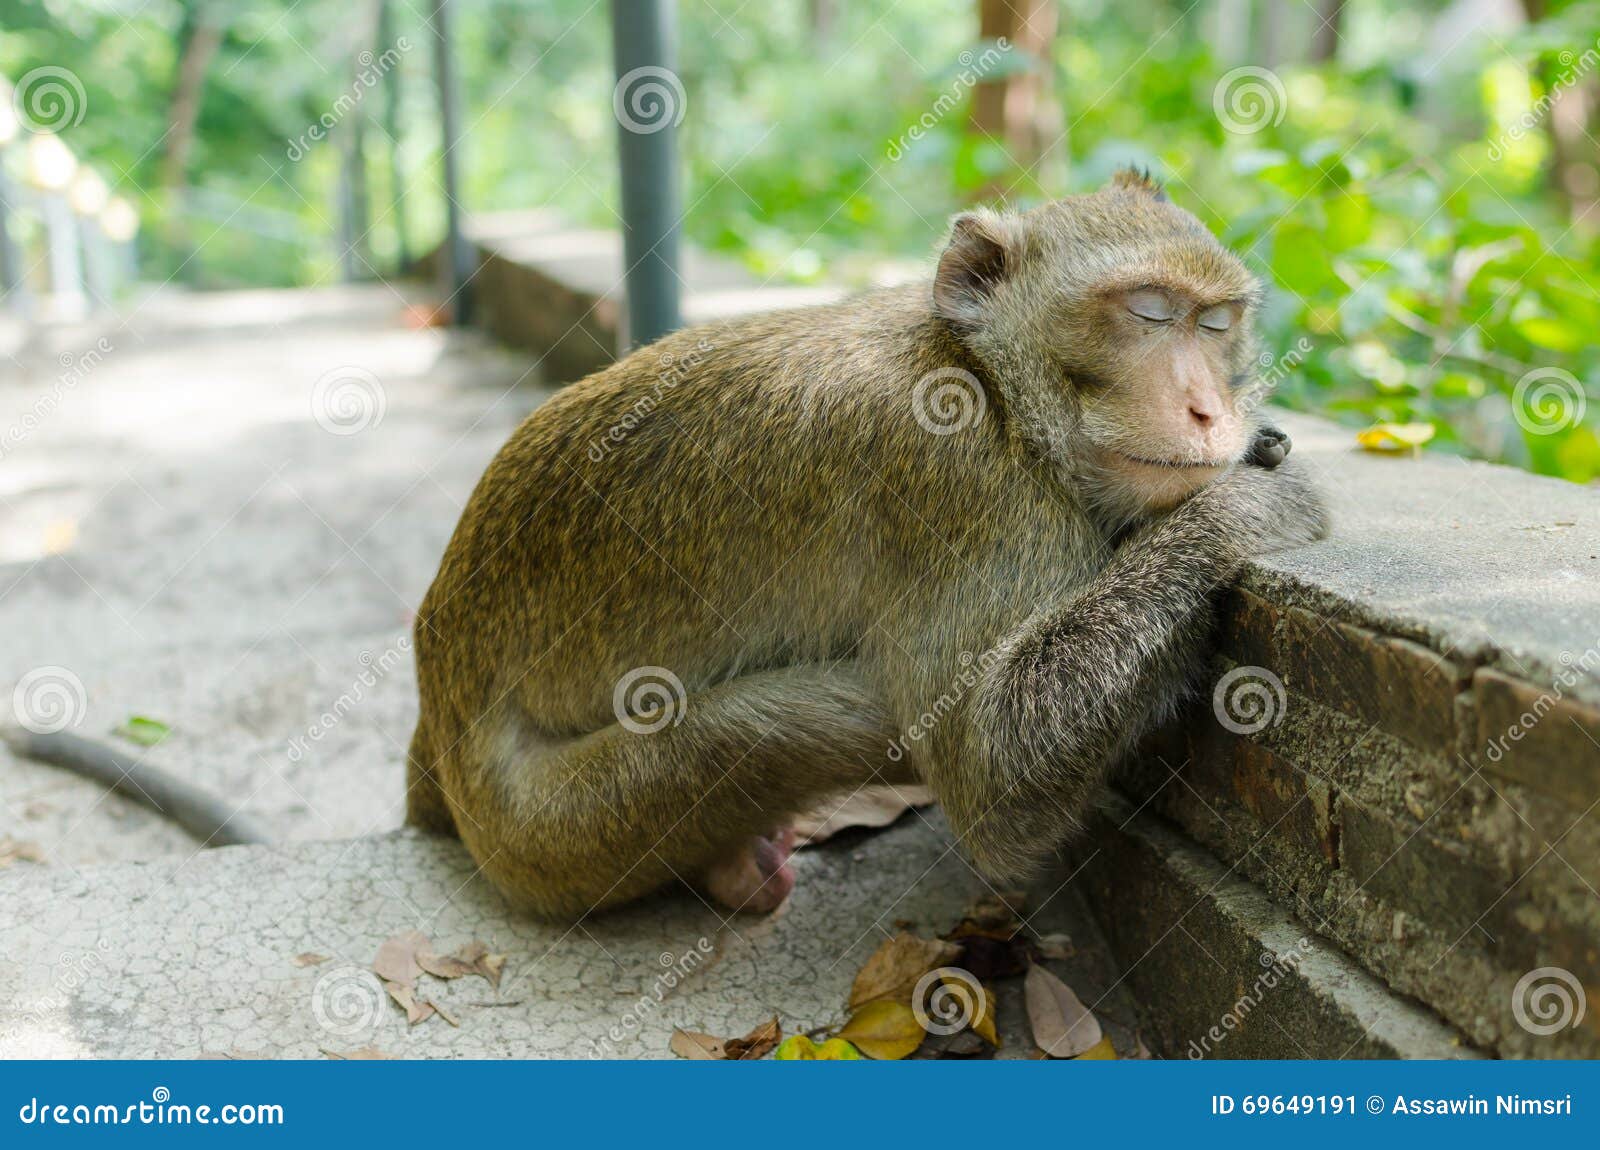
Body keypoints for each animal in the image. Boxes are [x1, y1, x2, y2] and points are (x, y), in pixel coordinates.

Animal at [404, 168, 1329, 921]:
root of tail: (437, 701)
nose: (1208, 409)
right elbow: (989, 768)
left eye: (1216, 325)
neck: (989, 381)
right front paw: (1242, 506)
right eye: (1149, 314)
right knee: (805, 721)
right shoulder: (962, 486)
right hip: (546, 834)